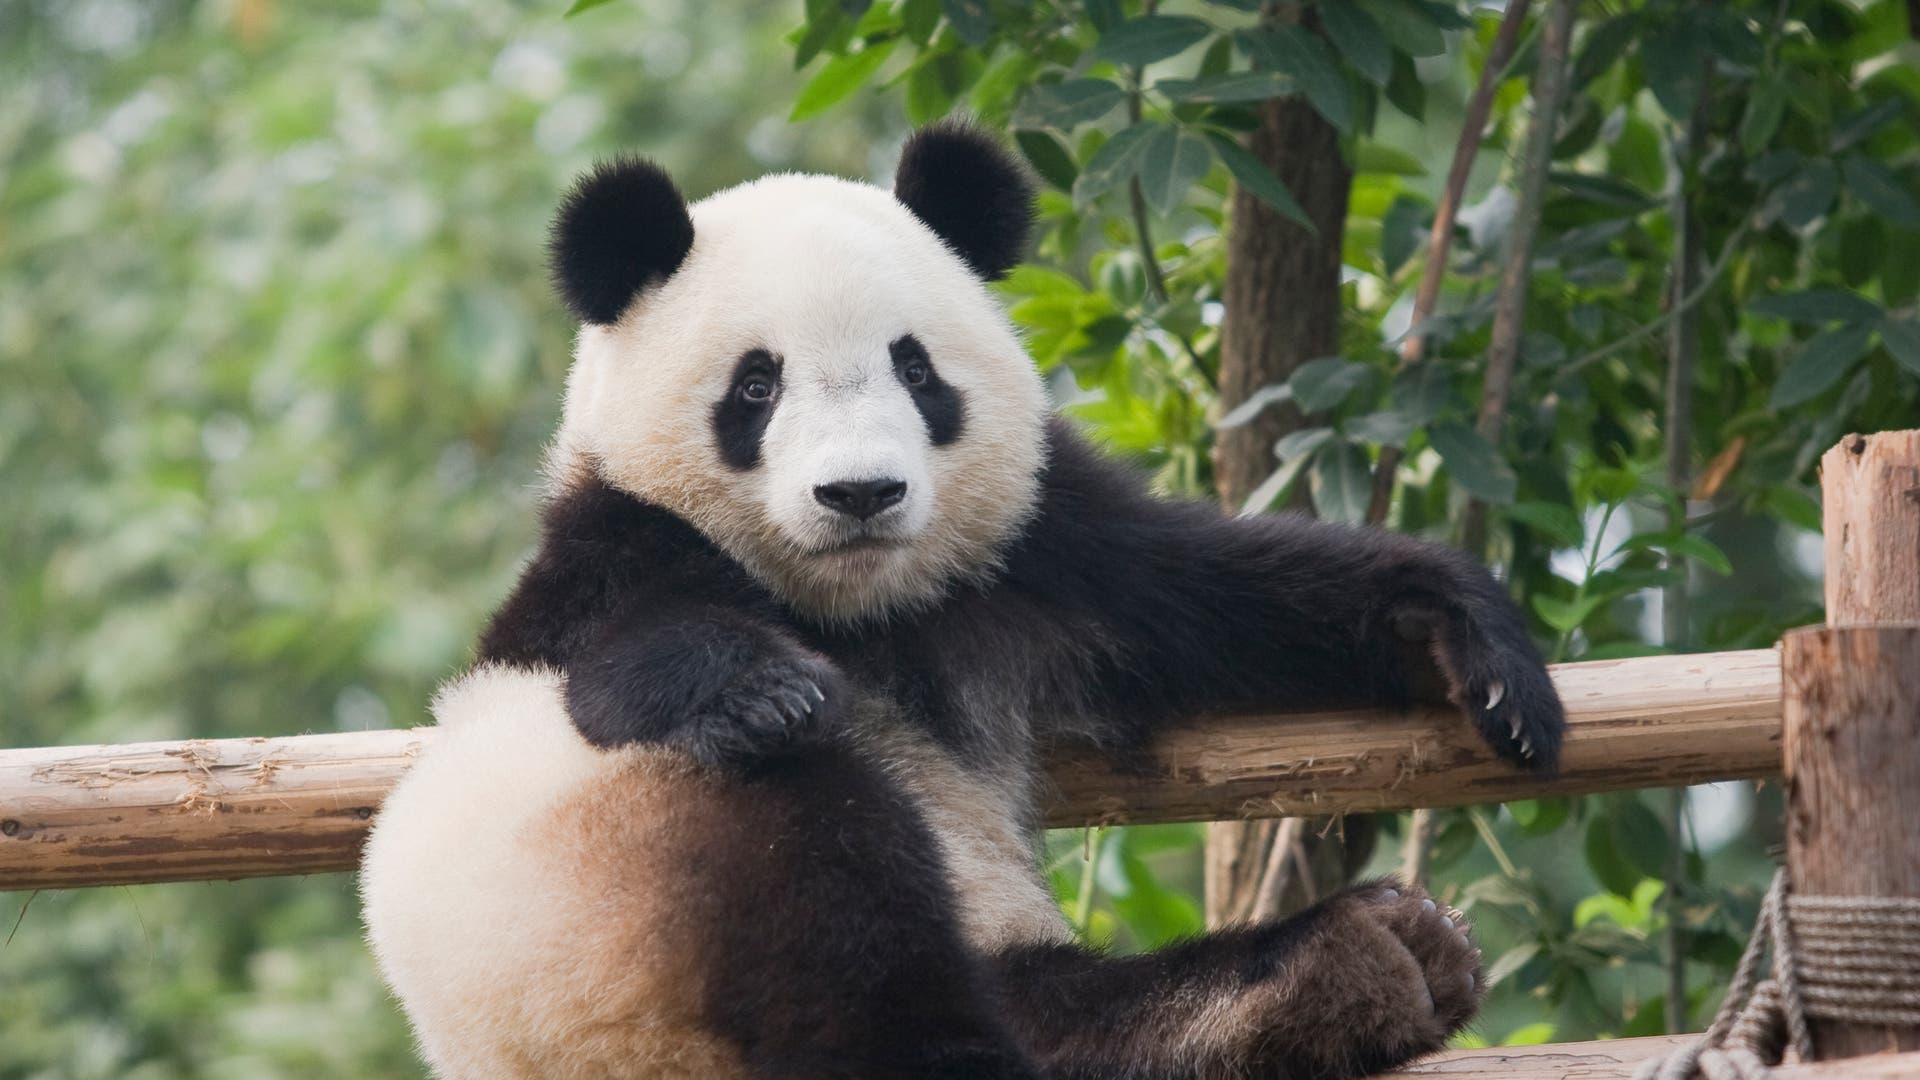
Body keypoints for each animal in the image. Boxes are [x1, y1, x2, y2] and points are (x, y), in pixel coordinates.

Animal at [359, 122, 1567, 1080]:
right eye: (756, 385)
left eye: (915, 369)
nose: (860, 493)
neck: (856, 608)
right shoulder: (611, 553)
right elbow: (620, 661)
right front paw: (763, 690)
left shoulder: (1035, 550)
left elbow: (1222, 596)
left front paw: (1477, 653)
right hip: (623, 893)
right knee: (835, 908)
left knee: (1073, 1011)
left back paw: (1353, 968)